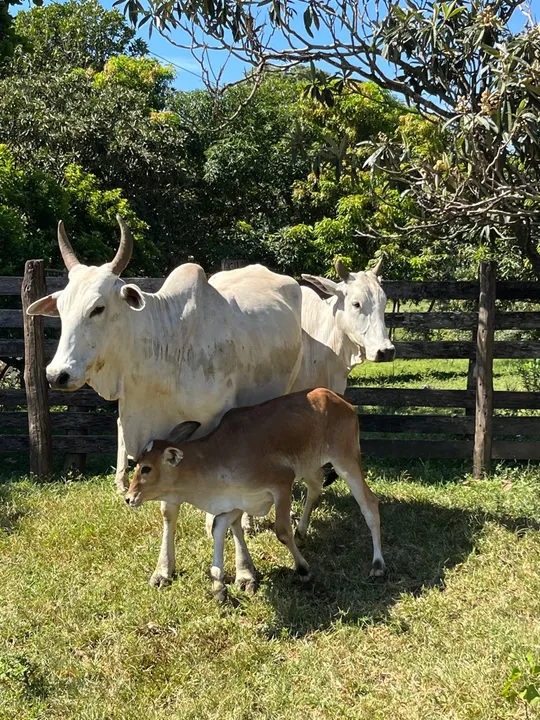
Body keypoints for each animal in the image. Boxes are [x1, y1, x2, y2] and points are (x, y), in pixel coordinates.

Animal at [27, 217, 304, 588]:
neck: (165, 349)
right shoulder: (156, 437)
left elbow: (228, 510)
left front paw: (245, 571)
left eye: (98, 308)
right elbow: (167, 508)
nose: (57, 374)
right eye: (60, 309)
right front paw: (163, 568)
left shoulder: (220, 429)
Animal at [125, 388, 385, 602]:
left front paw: (302, 568)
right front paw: (219, 586)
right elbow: (218, 528)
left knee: (369, 505)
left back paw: (378, 564)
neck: (218, 457)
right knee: (315, 487)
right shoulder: (235, 503)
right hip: (311, 466)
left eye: (146, 468)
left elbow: (282, 532)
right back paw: (302, 532)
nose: (129, 497)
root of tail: (339, 399)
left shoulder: (281, 484)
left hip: (346, 460)